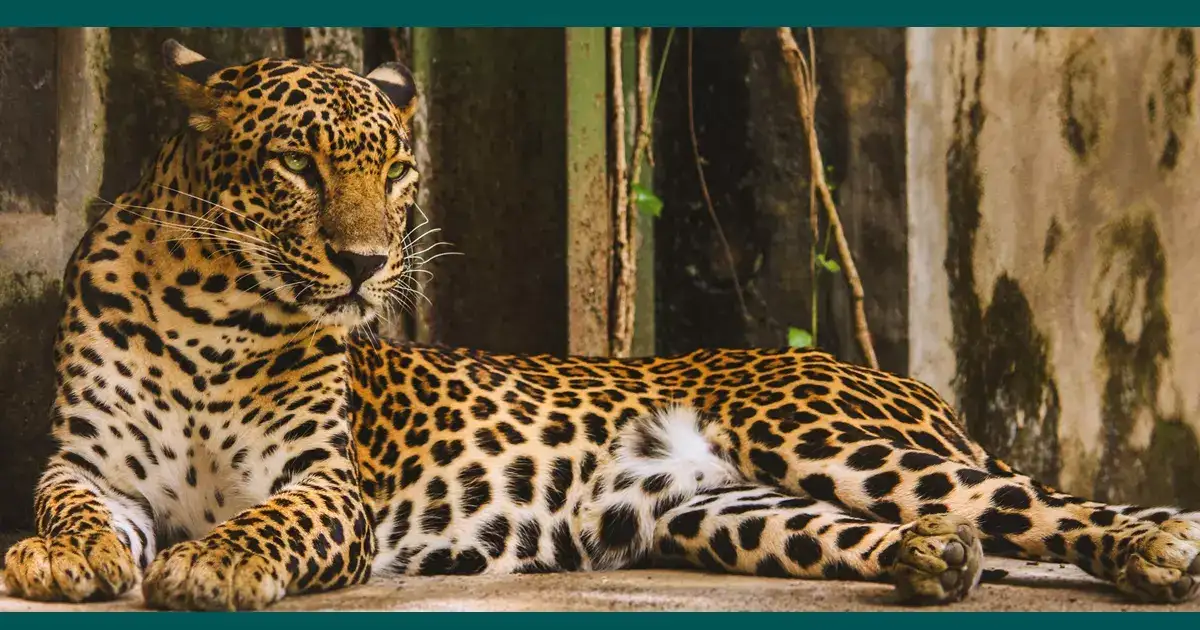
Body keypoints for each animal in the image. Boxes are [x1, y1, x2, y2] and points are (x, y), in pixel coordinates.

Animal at [3, 39, 1200, 611]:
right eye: (298, 164)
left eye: (396, 175)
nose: (366, 264)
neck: (215, 314)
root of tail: (913, 384)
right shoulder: (89, 465)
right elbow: (70, 507)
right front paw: (58, 558)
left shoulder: (327, 487)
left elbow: (267, 524)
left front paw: (212, 565)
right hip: (725, 514)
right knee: (919, 532)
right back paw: (933, 560)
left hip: (830, 438)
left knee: (1054, 506)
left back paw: (1156, 548)